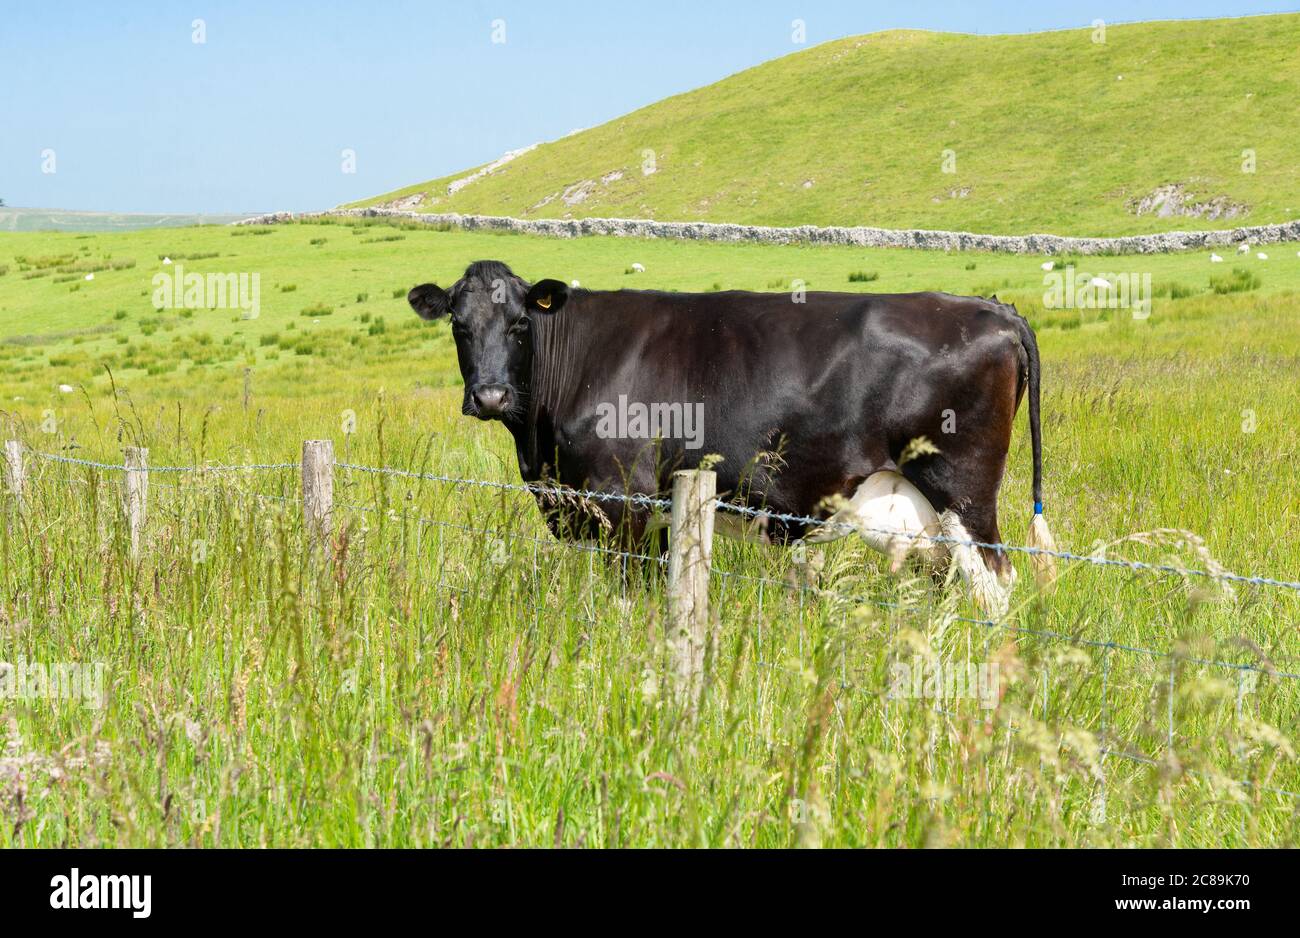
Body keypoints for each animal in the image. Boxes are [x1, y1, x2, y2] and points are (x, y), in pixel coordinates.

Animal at [408, 260, 1057, 614]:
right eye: (459, 326)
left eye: (520, 323)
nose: (491, 397)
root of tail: (994, 309)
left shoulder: (623, 497)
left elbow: (629, 593)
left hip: (963, 491)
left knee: (995, 585)